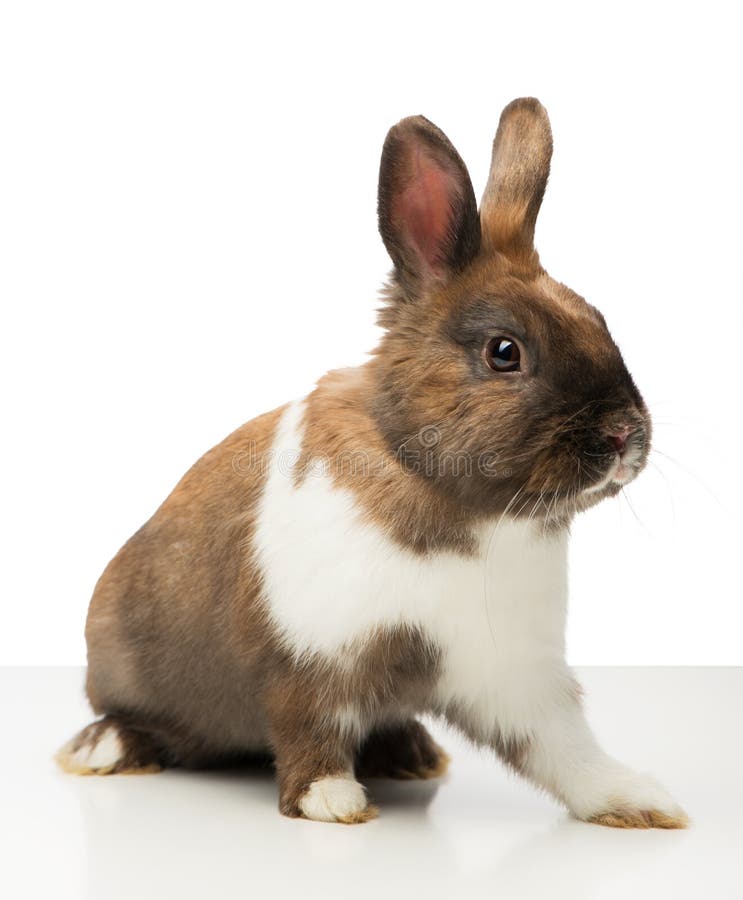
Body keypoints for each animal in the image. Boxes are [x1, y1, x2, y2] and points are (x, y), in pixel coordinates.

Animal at [57, 97, 688, 828]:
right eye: (504, 351)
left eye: (599, 320)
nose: (623, 432)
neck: (463, 508)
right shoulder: (314, 656)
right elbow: (310, 725)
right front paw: (332, 801)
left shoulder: (514, 672)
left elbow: (564, 748)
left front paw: (638, 800)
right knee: (135, 717)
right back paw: (103, 747)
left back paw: (411, 752)